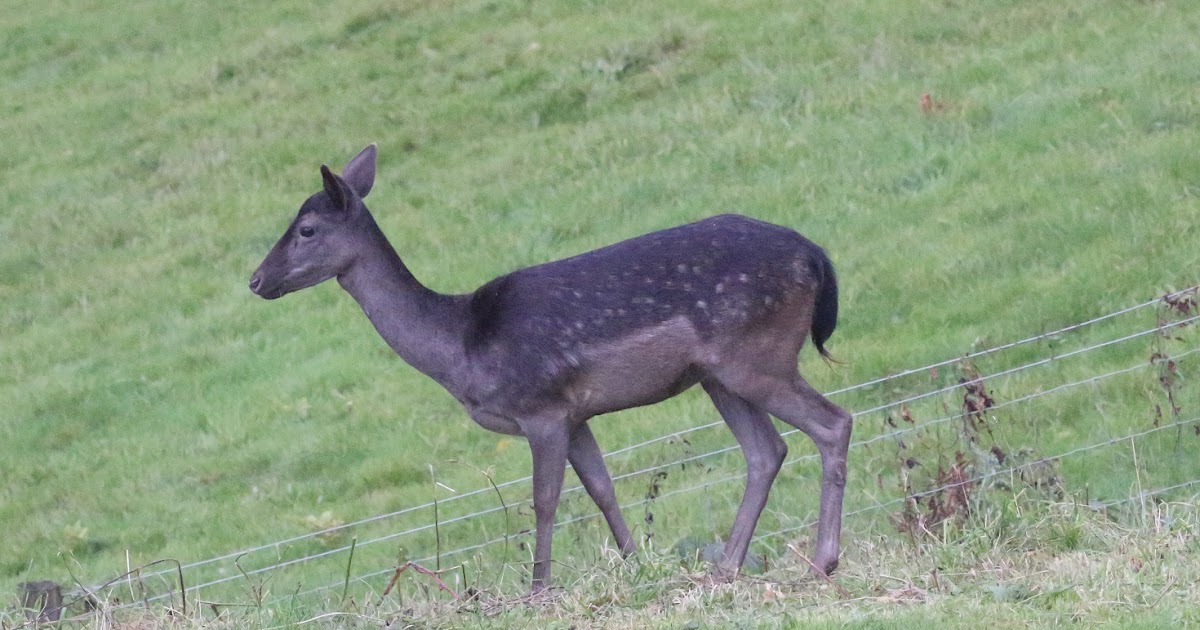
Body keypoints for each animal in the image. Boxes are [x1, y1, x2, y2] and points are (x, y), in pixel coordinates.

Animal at [249, 144, 852, 592]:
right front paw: (636, 565)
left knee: (833, 423)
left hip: (757, 352)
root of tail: (817, 256)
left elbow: (543, 501)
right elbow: (602, 488)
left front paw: (538, 588)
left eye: (305, 228)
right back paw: (726, 566)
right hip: (719, 374)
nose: (256, 280)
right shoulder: (575, 413)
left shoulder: (539, 408)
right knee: (766, 451)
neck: (460, 348)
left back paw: (822, 561)